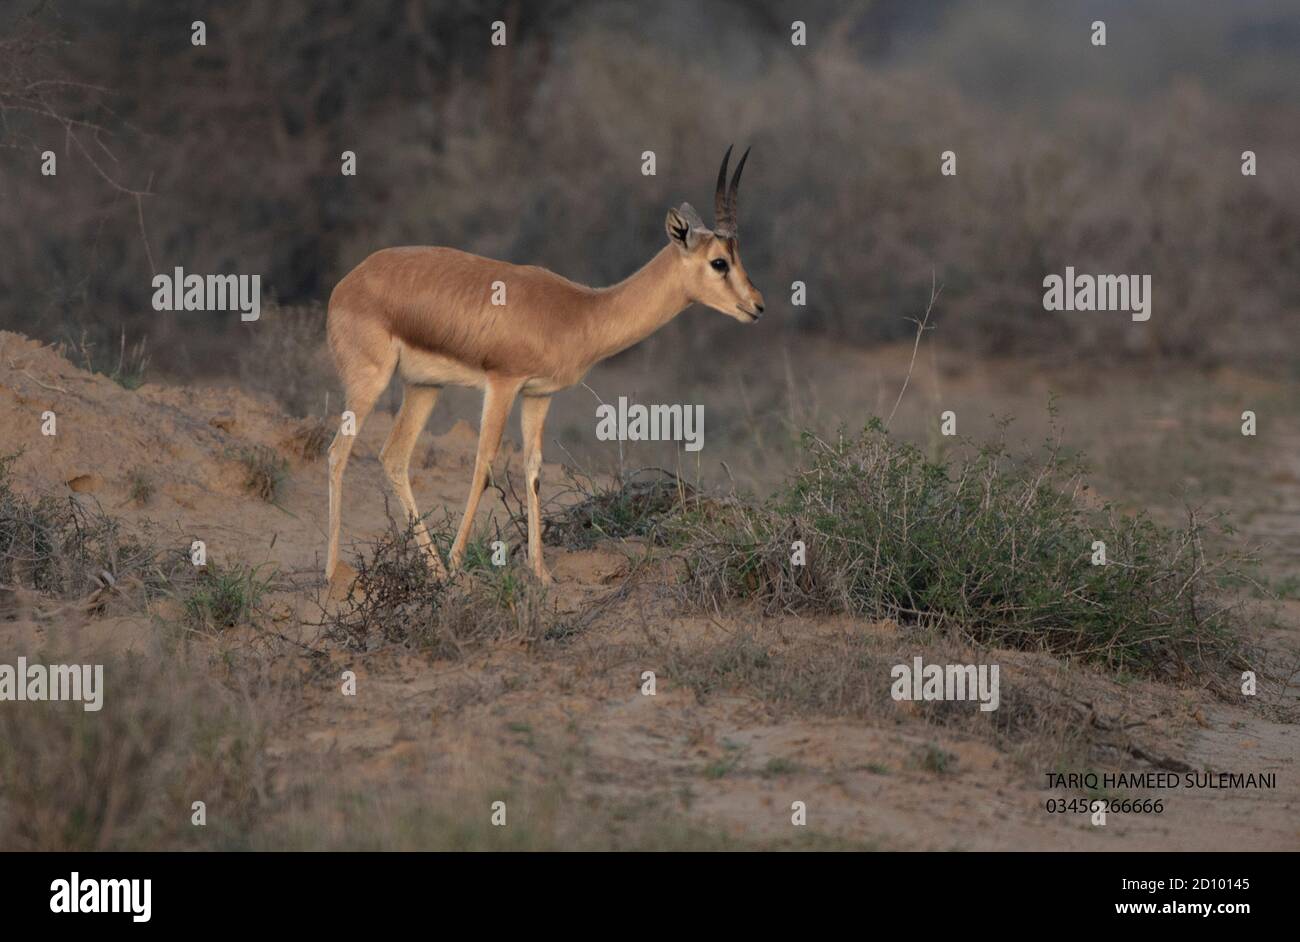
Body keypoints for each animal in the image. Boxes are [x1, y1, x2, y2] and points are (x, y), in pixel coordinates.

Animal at [324, 146, 764, 585]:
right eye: (719, 262)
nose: (757, 306)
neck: (582, 312)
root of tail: (347, 283)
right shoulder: (502, 384)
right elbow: (484, 464)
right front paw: (458, 561)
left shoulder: (538, 395)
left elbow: (533, 469)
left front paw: (541, 573)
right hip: (371, 381)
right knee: (337, 452)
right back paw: (334, 574)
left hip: (424, 387)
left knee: (394, 457)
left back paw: (432, 570)